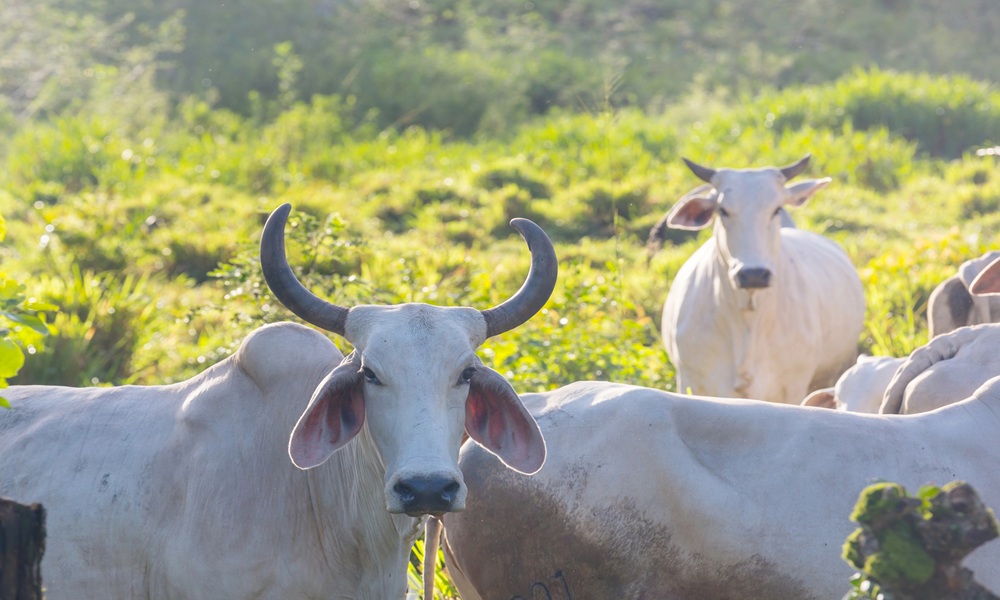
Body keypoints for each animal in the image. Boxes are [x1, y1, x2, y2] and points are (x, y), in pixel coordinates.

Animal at [655, 155, 865, 404]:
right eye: (723, 210)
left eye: (776, 208)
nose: (753, 274)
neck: (748, 320)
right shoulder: (690, 381)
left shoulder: (792, 388)